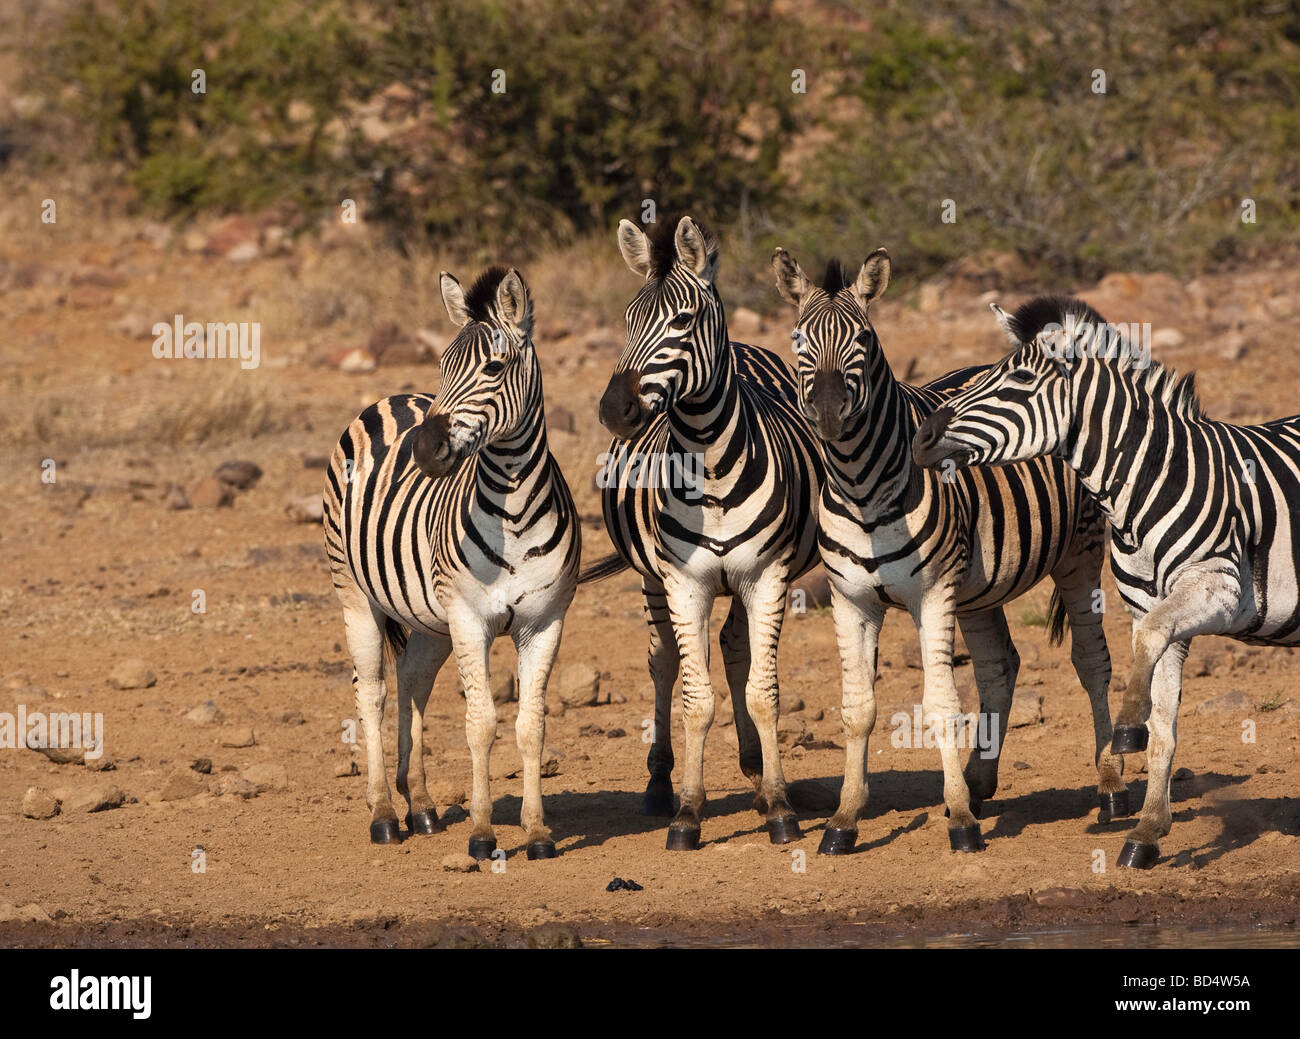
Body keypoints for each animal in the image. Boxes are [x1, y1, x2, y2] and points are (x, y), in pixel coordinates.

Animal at [323, 266, 580, 858]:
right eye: (442, 366)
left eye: (494, 368)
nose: (424, 449)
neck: (515, 512)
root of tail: (393, 398)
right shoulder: (470, 616)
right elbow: (480, 722)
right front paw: (483, 834)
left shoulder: (544, 621)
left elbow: (531, 725)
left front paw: (537, 832)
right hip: (356, 595)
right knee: (371, 691)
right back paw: (383, 815)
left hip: (428, 618)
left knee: (413, 681)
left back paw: (420, 807)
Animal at [589, 214, 824, 850]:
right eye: (627, 321)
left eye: (683, 321)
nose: (614, 409)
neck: (711, 466)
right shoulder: (684, 581)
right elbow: (696, 700)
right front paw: (688, 815)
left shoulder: (767, 575)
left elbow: (763, 692)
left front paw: (779, 806)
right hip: (653, 580)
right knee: (664, 662)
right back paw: (659, 786)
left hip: (749, 577)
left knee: (736, 649)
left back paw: (757, 775)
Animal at [772, 248, 1126, 855]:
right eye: (798, 340)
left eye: (863, 339)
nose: (830, 413)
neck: (860, 485)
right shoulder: (850, 599)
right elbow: (857, 708)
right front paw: (844, 820)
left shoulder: (933, 592)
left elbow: (941, 705)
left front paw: (960, 821)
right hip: (981, 586)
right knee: (1000, 665)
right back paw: (981, 785)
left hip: (1078, 556)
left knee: (1091, 662)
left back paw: (1107, 788)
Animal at [912, 294, 1300, 868]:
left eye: (1020, 379)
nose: (921, 439)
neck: (1152, 482)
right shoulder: (1153, 608)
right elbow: (1164, 727)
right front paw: (1147, 831)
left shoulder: (1219, 588)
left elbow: (1147, 654)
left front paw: (1127, 727)